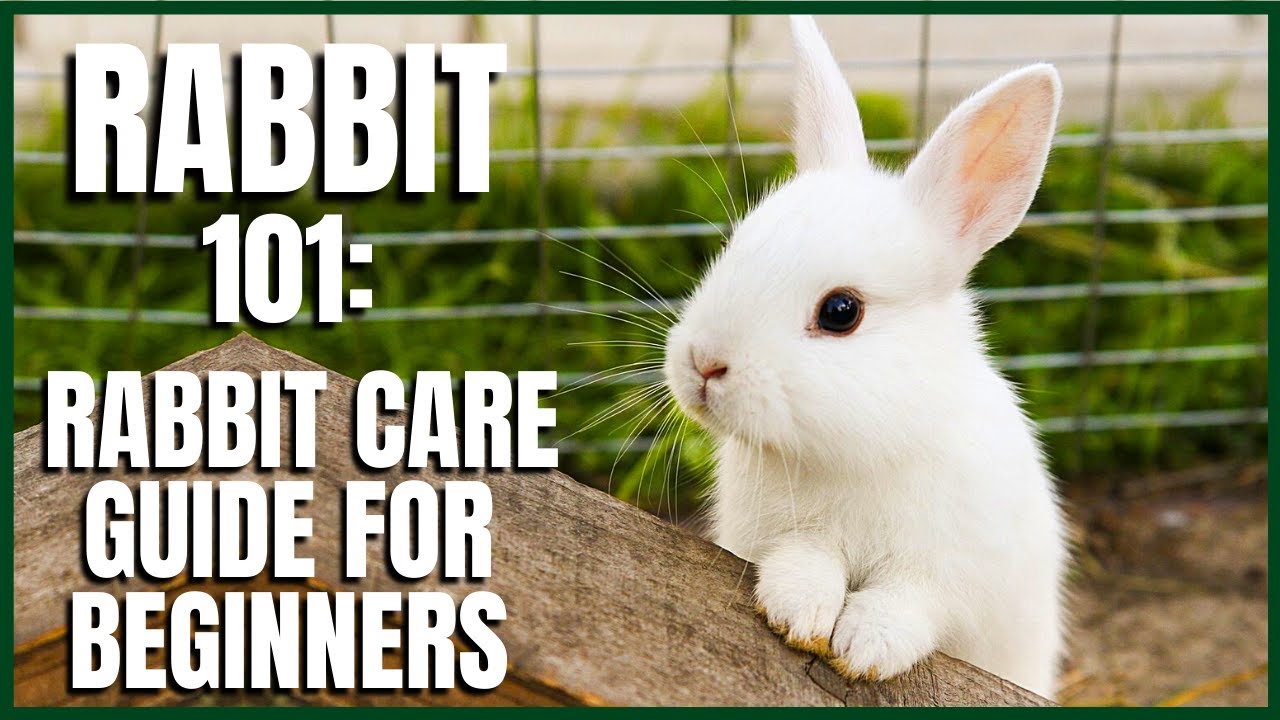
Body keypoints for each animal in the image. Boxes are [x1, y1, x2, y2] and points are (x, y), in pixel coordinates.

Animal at [662, 15, 1068, 699]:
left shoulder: (951, 577)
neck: (859, 450)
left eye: (840, 311)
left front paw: (864, 647)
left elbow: (910, 603)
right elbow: (805, 561)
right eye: (736, 246)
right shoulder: (782, 534)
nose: (704, 364)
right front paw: (799, 613)